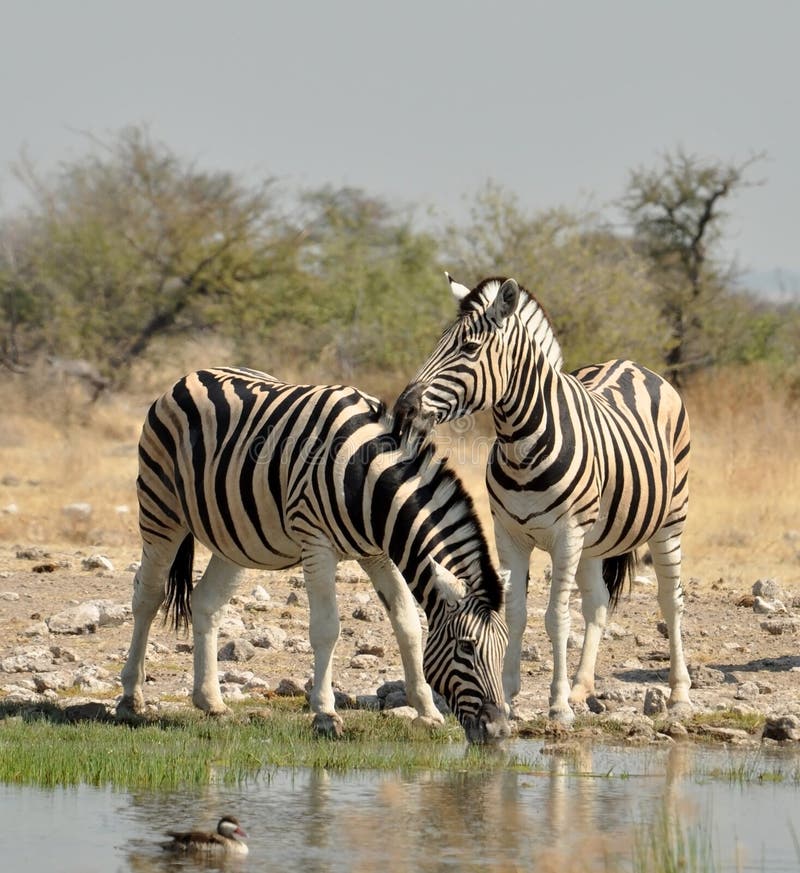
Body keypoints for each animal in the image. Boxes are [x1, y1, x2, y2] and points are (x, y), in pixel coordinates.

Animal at [117, 366, 510, 743]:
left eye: (504, 648)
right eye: (466, 647)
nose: (498, 730)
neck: (369, 481)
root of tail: (189, 376)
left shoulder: (378, 554)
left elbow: (407, 623)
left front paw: (427, 713)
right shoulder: (316, 544)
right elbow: (327, 629)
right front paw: (325, 714)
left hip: (235, 536)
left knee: (205, 603)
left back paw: (211, 701)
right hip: (160, 509)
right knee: (147, 596)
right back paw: (131, 699)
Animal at [394, 275, 692, 725]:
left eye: (469, 349)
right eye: (438, 341)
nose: (404, 408)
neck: (521, 444)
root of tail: (632, 364)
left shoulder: (566, 535)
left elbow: (555, 618)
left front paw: (557, 704)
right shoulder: (509, 536)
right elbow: (516, 613)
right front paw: (511, 695)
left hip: (669, 521)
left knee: (670, 601)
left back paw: (678, 695)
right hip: (594, 540)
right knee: (597, 603)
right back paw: (583, 686)